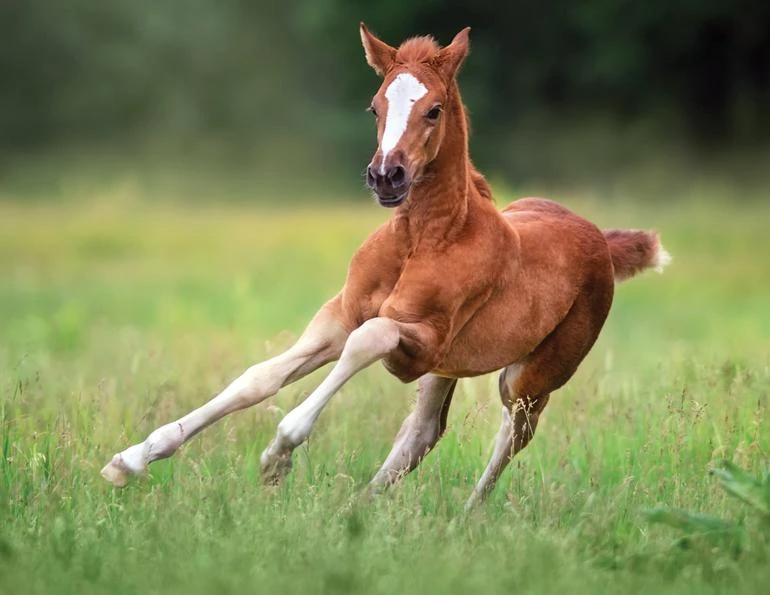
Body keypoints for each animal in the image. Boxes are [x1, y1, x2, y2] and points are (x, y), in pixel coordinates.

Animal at [101, 24, 670, 509]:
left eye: (434, 110)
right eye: (374, 106)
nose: (385, 176)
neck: (423, 237)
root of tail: (600, 239)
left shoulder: (419, 341)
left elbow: (366, 340)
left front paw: (277, 456)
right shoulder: (343, 313)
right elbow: (258, 379)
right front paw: (131, 459)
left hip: (530, 376)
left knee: (513, 433)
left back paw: (465, 517)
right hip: (450, 369)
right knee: (424, 432)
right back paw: (361, 507)